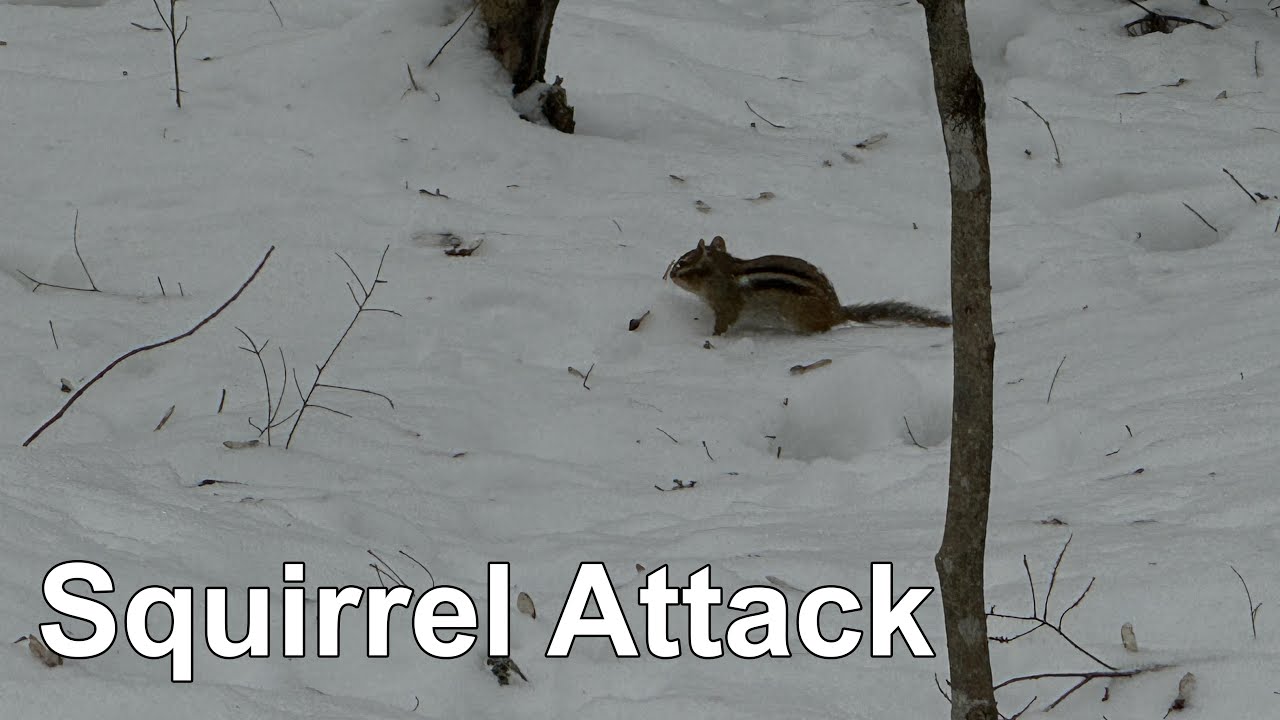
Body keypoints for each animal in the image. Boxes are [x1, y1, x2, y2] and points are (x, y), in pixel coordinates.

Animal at [666, 235, 951, 335]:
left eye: (683, 263)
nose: (671, 274)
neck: (723, 271)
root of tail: (836, 312)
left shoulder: (727, 306)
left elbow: (723, 323)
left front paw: (711, 338)